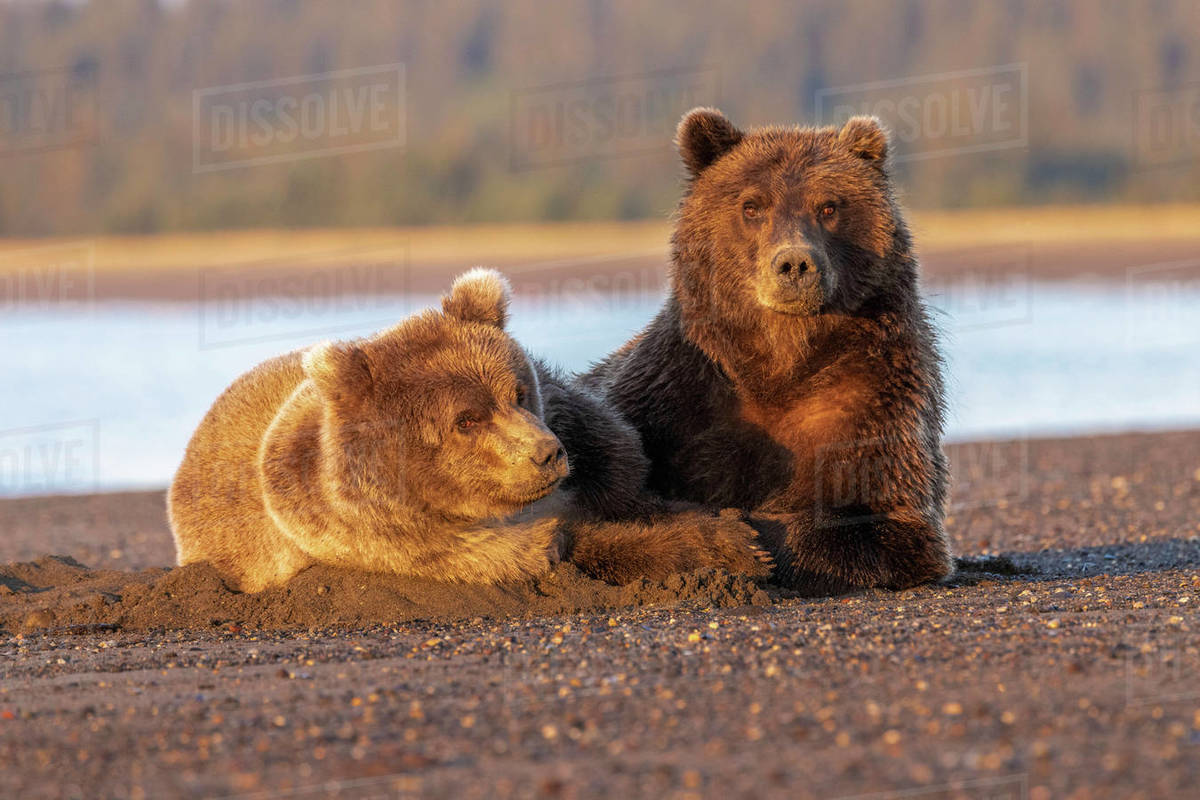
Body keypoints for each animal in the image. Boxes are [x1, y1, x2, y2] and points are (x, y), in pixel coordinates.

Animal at [169, 267, 769, 592]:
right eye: (466, 419)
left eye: (518, 392)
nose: (547, 453)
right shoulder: (428, 546)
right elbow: (570, 546)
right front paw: (734, 548)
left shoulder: (594, 445)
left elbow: (626, 482)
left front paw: (734, 532)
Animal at [582, 108, 953, 595]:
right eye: (752, 206)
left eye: (828, 207)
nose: (794, 264)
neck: (778, 362)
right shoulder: (670, 397)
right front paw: (719, 540)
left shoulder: (870, 396)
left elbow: (879, 522)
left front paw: (753, 538)